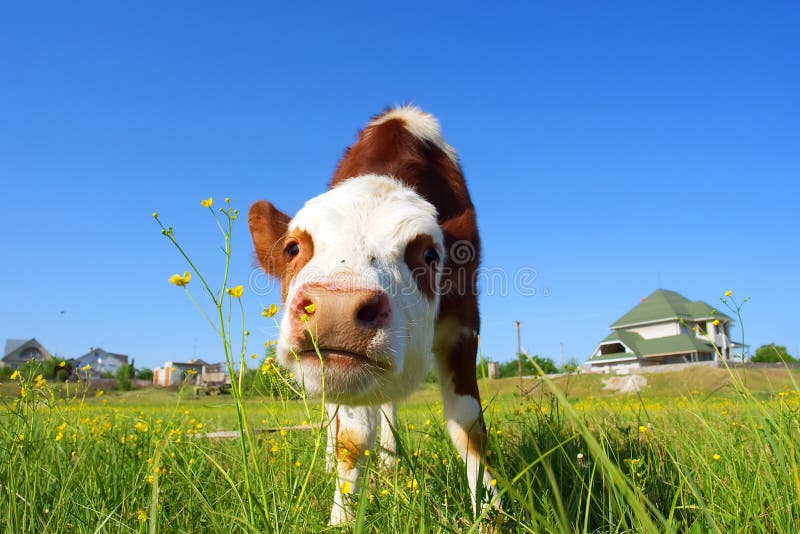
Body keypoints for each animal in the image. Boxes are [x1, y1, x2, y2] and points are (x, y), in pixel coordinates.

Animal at [248, 106, 497, 525]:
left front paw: (491, 511)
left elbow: (468, 424)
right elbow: (351, 438)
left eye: (430, 255)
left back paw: (389, 462)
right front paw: (341, 520)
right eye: (293, 247)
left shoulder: (464, 322)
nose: (334, 309)